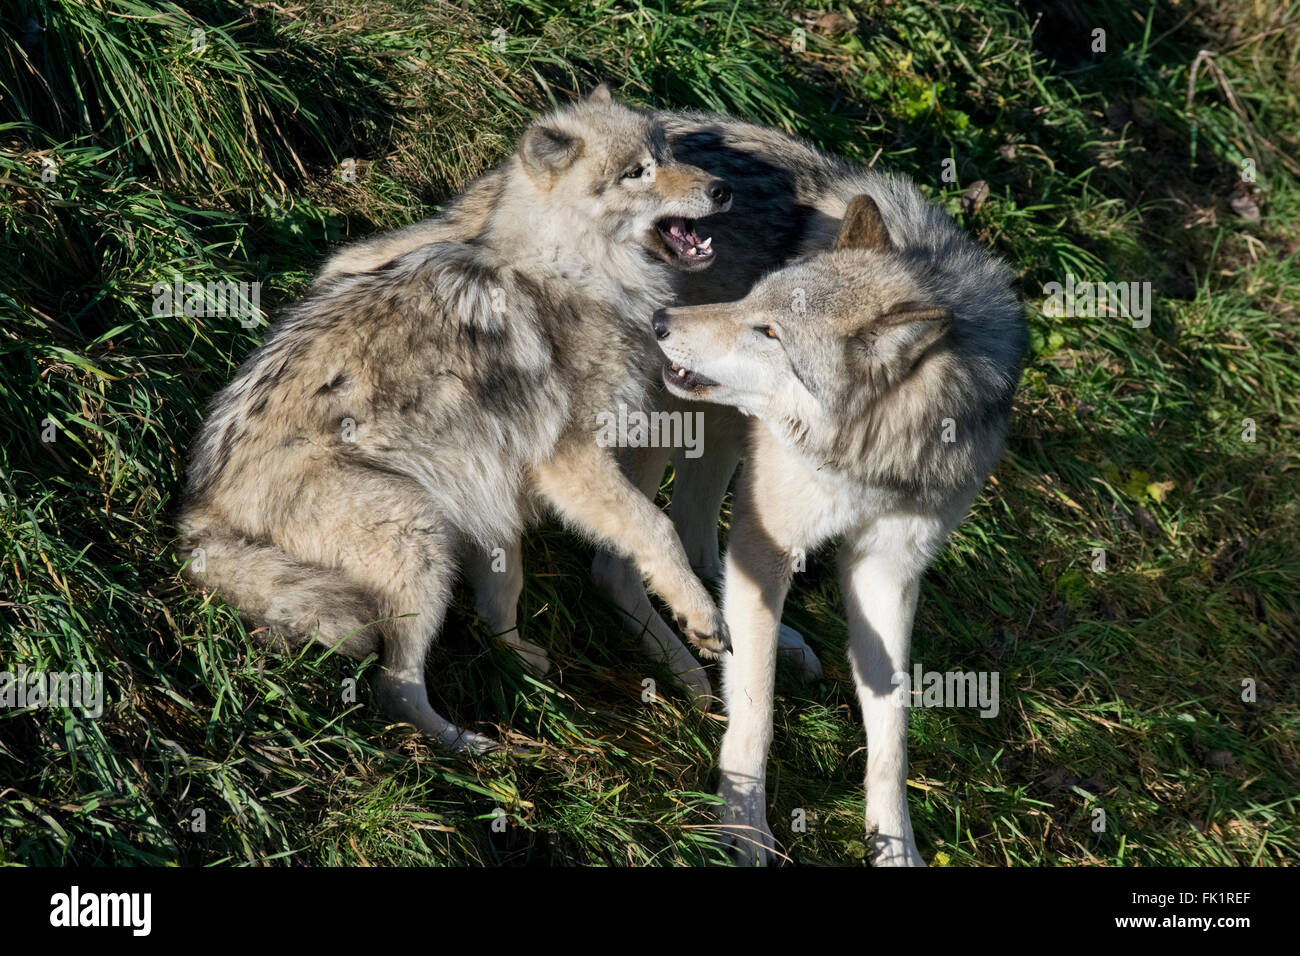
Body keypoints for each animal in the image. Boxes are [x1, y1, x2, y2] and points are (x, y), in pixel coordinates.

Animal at [176, 86, 735, 751]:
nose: (724, 189)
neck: (578, 274)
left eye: (668, 153)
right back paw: (467, 745)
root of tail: (202, 513)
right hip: (419, 537)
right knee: (394, 688)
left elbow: (501, 596)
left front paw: (514, 656)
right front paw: (703, 619)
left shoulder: (495, 483)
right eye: (637, 173)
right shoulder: (571, 464)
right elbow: (657, 528)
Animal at [655, 192, 1027, 865]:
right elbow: (756, 711)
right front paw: (745, 828)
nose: (660, 320)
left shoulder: (886, 574)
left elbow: (893, 729)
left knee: (696, 534)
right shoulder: (767, 540)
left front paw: (895, 844)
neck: (872, 462)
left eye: (771, 333)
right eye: (752, 301)